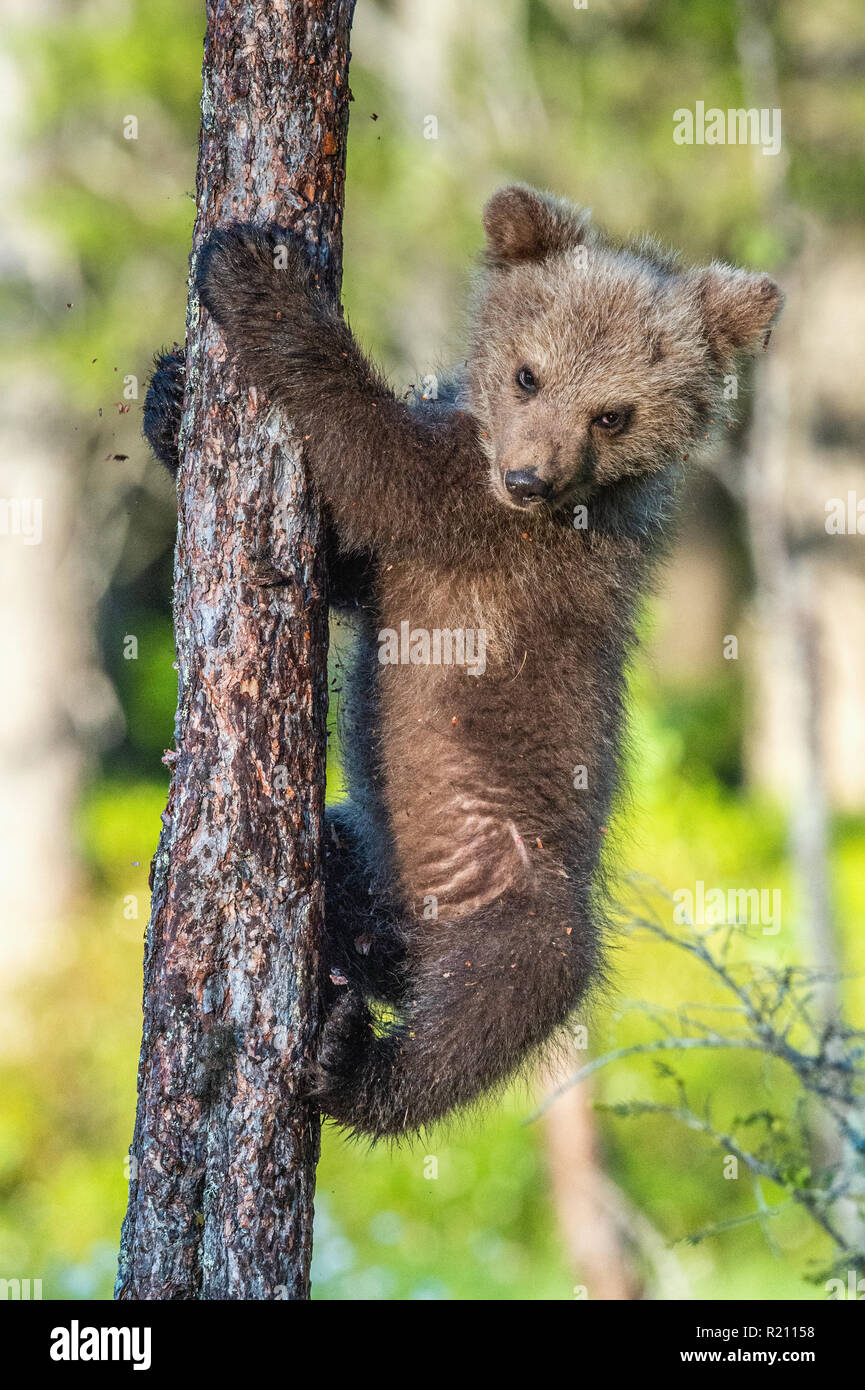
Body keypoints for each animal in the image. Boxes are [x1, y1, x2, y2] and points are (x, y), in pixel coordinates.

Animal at [144, 185, 782, 1140]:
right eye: (528, 374)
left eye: (613, 413)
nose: (529, 478)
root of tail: (417, 937)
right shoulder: (443, 540)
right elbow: (347, 565)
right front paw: (171, 397)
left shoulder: (489, 538)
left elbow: (377, 466)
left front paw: (256, 273)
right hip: (374, 859)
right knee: (344, 869)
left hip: (522, 889)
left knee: (501, 1001)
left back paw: (350, 1065)